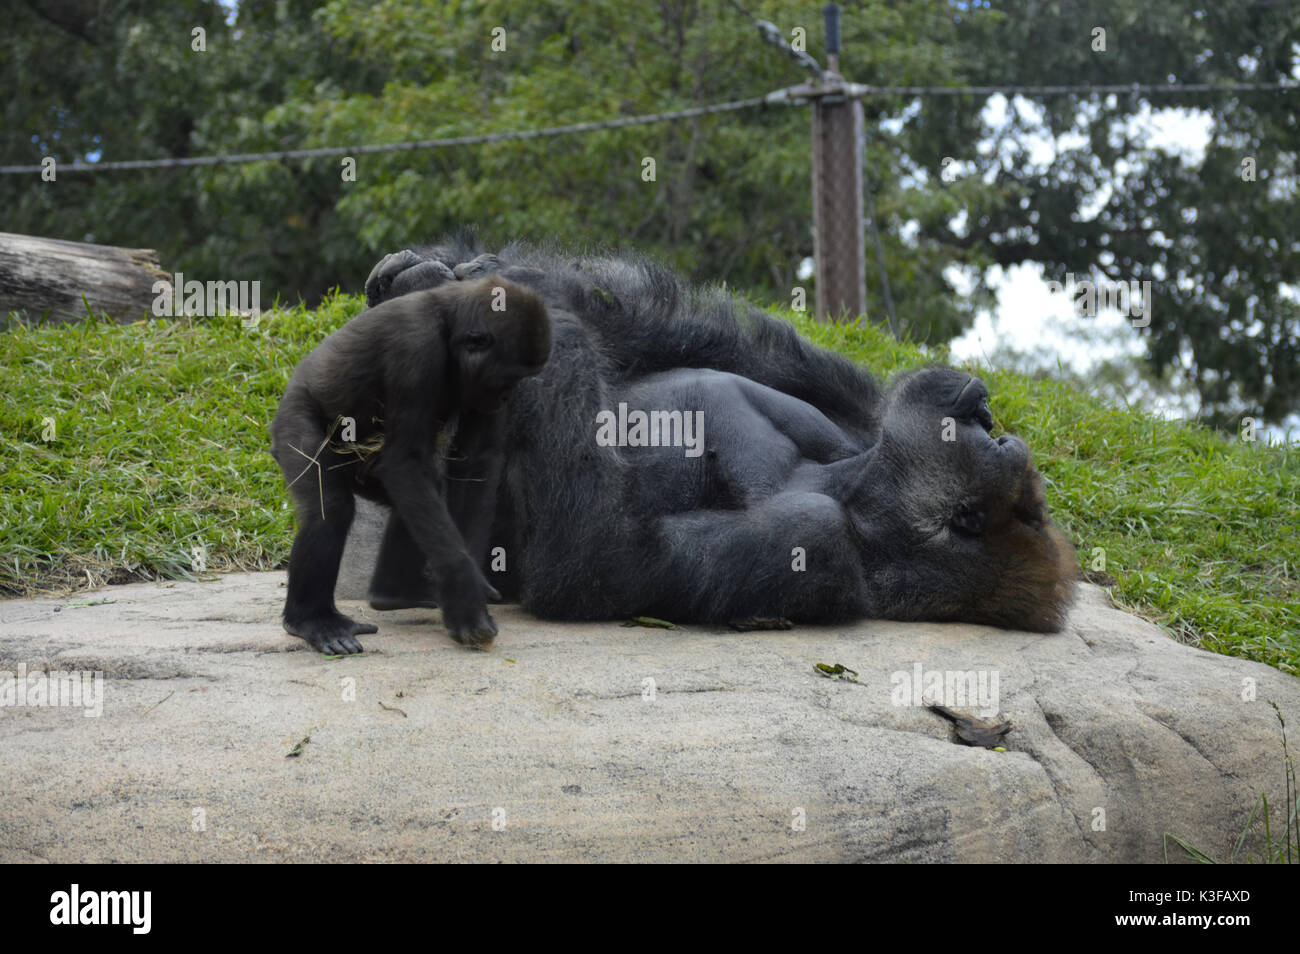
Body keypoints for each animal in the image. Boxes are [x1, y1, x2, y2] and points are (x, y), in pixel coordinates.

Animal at [269, 276, 551, 654]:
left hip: (362, 468)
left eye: (520, 381)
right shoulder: (415, 349)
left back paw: (394, 593)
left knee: (417, 493)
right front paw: (464, 592)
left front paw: (471, 582)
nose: (506, 398)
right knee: (331, 508)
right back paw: (312, 620)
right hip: (293, 421)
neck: (449, 326)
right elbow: (404, 462)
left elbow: (473, 464)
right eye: (508, 378)